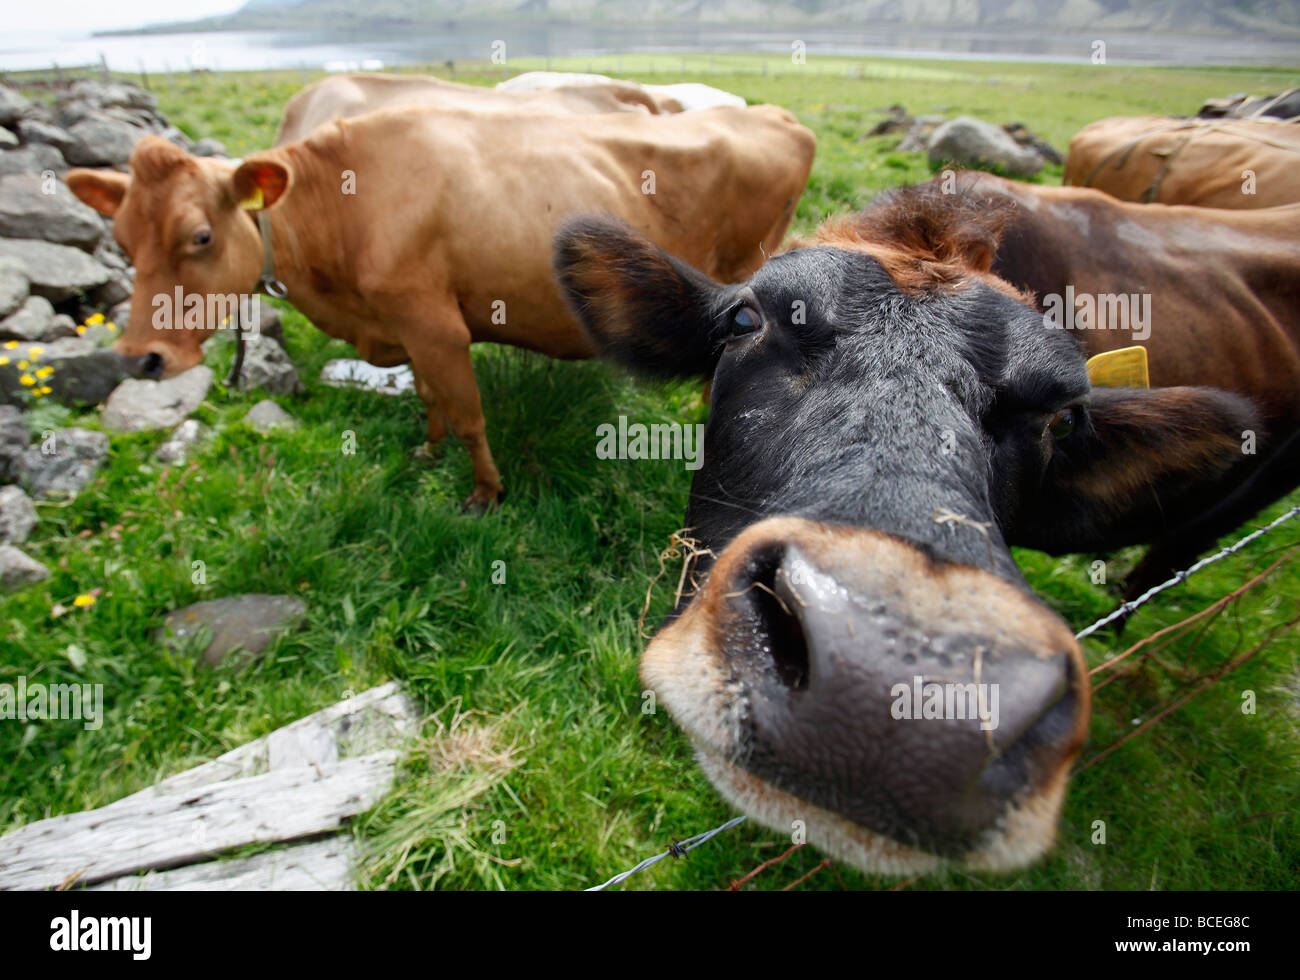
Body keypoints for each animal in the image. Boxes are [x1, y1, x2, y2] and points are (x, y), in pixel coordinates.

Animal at [64, 104, 815, 510]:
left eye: (199, 236)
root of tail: (770, 113)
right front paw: (428, 451)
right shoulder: (402, 324)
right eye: (122, 237)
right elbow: (430, 396)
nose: (141, 357)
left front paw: (485, 493)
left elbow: (470, 413)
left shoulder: (434, 322)